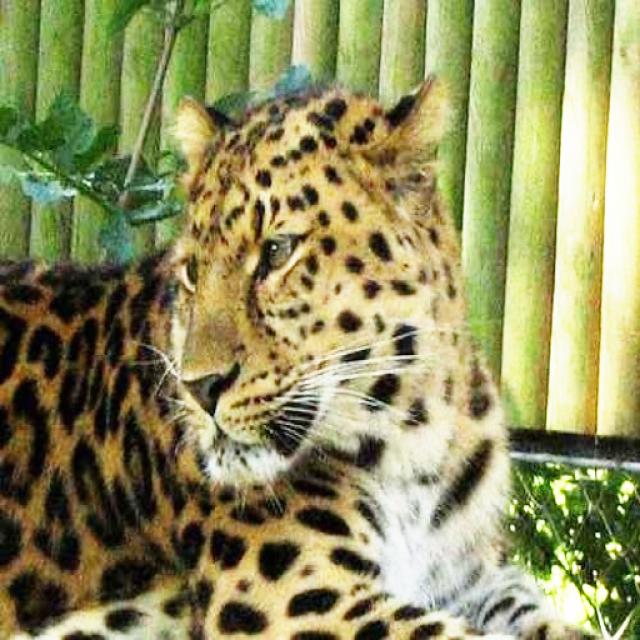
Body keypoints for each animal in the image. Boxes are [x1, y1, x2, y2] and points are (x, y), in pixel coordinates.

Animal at [0, 78, 593, 640]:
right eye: (192, 269)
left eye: (277, 252)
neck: (422, 438)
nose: (199, 387)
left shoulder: (477, 580)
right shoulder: (296, 598)